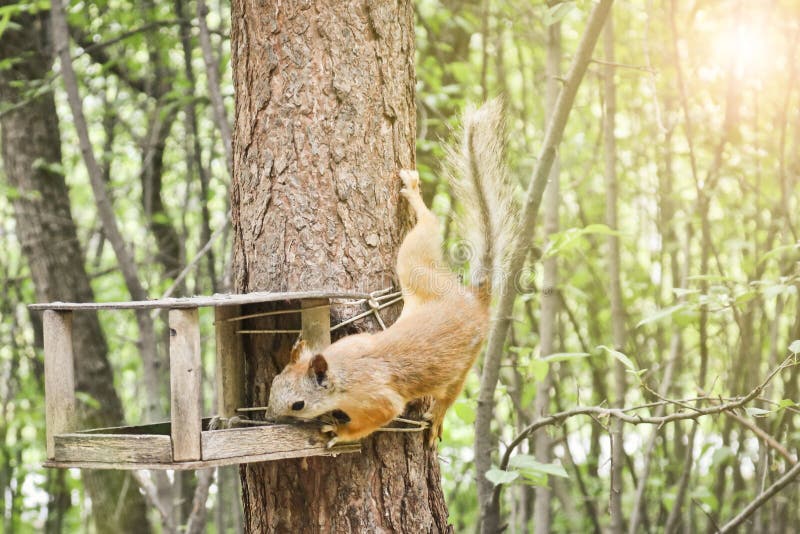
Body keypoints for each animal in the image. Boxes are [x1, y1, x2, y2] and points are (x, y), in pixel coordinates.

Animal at [265, 100, 516, 447]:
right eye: (275, 381)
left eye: (298, 404)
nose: (268, 419)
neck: (344, 371)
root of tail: (473, 299)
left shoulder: (378, 400)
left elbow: (377, 418)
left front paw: (337, 433)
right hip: (418, 274)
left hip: (460, 346)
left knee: (450, 393)